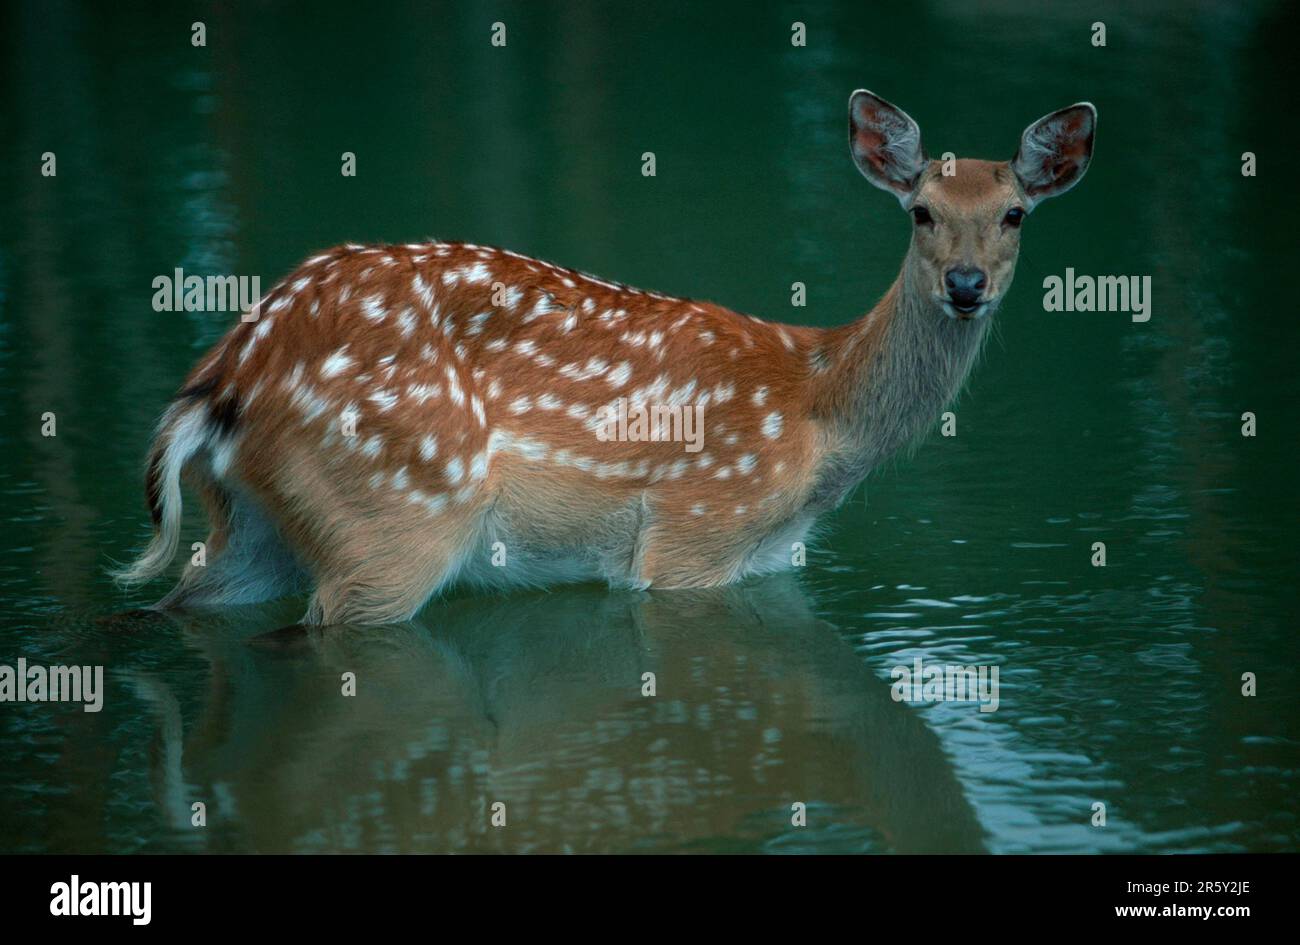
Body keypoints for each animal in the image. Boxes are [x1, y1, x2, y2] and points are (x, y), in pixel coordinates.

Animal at [113, 90, 1095, 626]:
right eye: (921, 211)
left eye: (1015, 213)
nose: (965, 283)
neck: (818, 414)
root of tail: (227, 378)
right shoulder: (694, 535)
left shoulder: (770, 561)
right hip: (394, 520)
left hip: (251, 529)